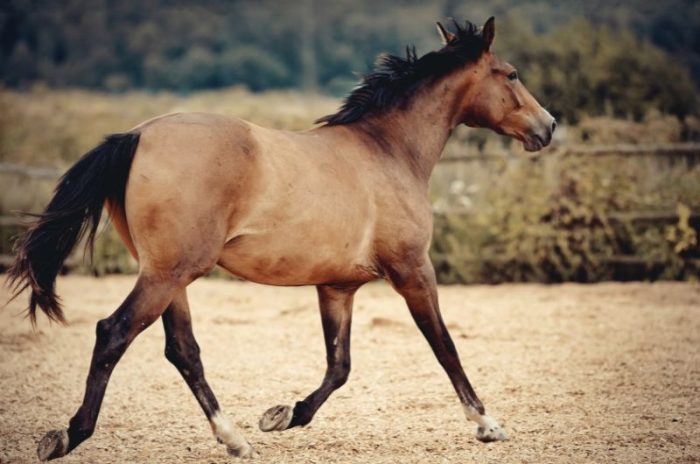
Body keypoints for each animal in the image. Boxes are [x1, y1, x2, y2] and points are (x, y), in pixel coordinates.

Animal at [7, 17, 555, 461]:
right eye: (511, 74)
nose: (548, 127)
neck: (388, 151)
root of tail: (138, 134)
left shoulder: (337, 287)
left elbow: (339, 365)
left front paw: (283, 415)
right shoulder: (413, 270)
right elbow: (444, 346)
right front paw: (487, 424)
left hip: (169, 274)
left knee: (183, 350)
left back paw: (234, 439)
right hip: (168, 274)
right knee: (114, 333)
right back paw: (67, 436)